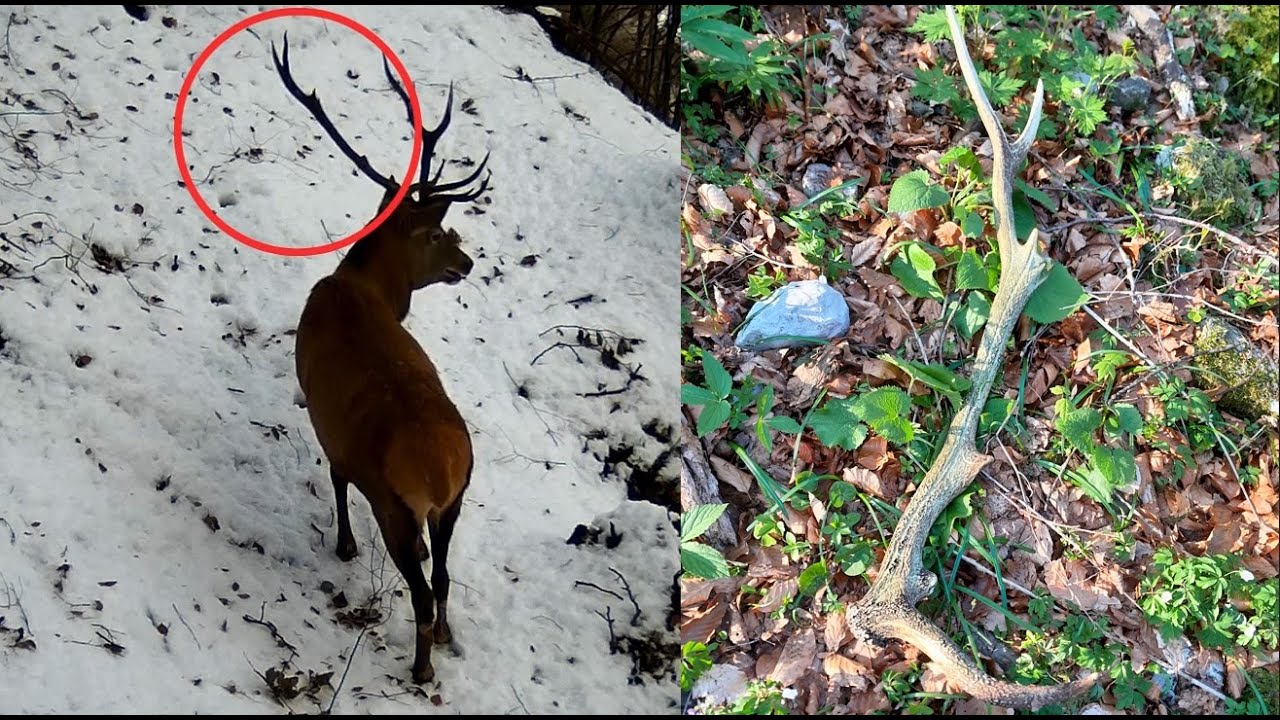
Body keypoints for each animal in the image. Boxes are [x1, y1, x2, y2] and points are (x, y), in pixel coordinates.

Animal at [273, 35, 490, 684]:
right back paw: (443, 636)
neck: (362, 287)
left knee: (419, 588)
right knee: (441, 577)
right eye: (441, 235)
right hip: (455, 502)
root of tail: (442, 467)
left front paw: (342, 544)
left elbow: (336, 479)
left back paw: (421, 669)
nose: (468, 263)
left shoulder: (328, 424)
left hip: (395, 505)